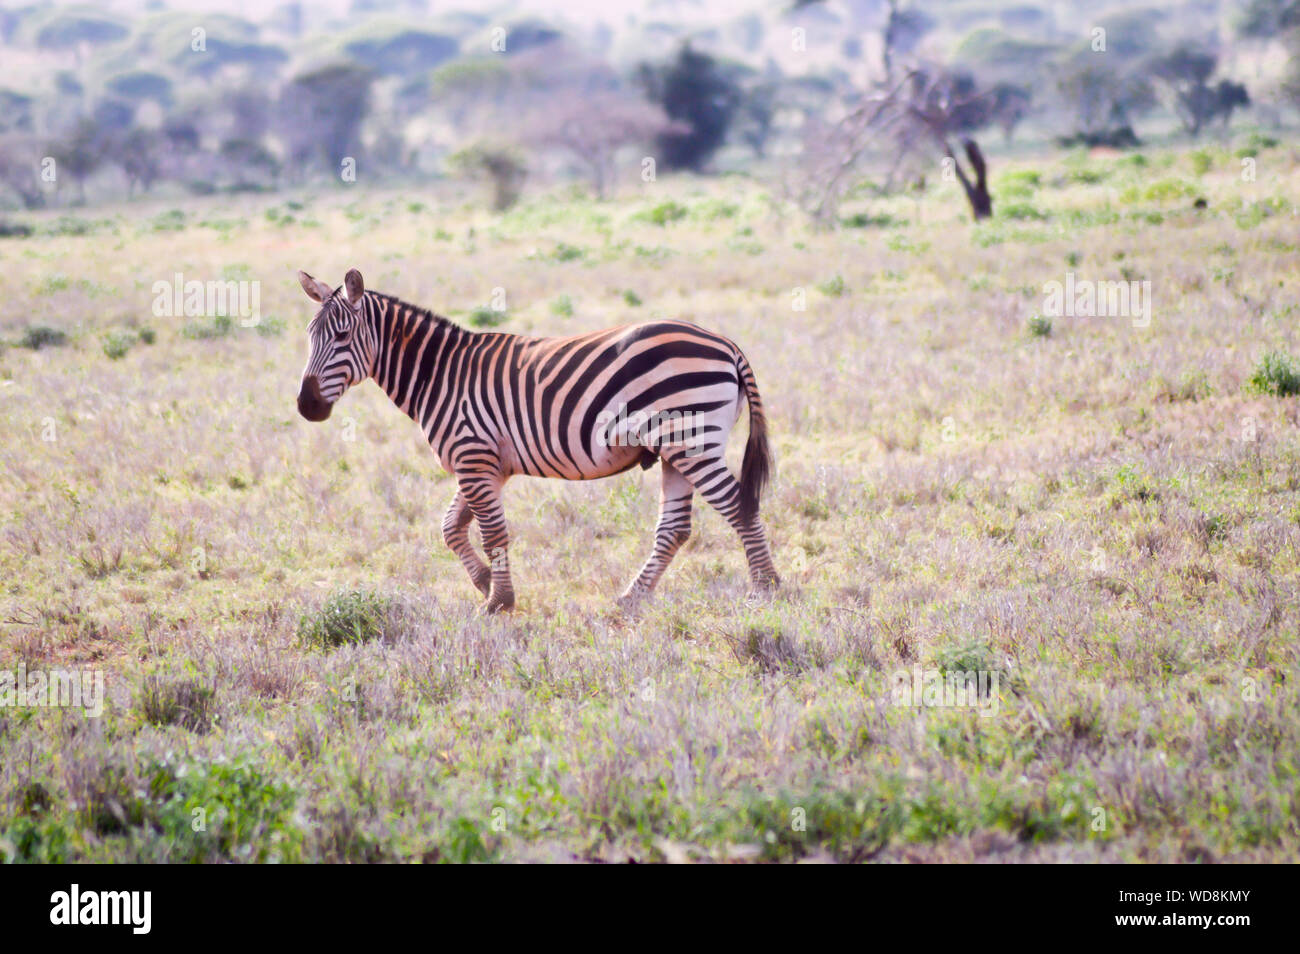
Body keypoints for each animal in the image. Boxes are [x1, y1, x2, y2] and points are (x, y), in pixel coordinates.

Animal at [295, 268, 779, 612]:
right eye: (308, 337)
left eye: (342, 336)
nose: (306, 406)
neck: (441, 374)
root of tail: (727, 344)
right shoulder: (485, 464)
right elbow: (451, 528)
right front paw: (487, 584)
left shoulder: (473, 456)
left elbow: (492, 533)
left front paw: (498, 602)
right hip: (675, 451)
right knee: (675, 528)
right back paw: (631, 598)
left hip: (691, 442)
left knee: (739, 505)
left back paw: (765, 590)